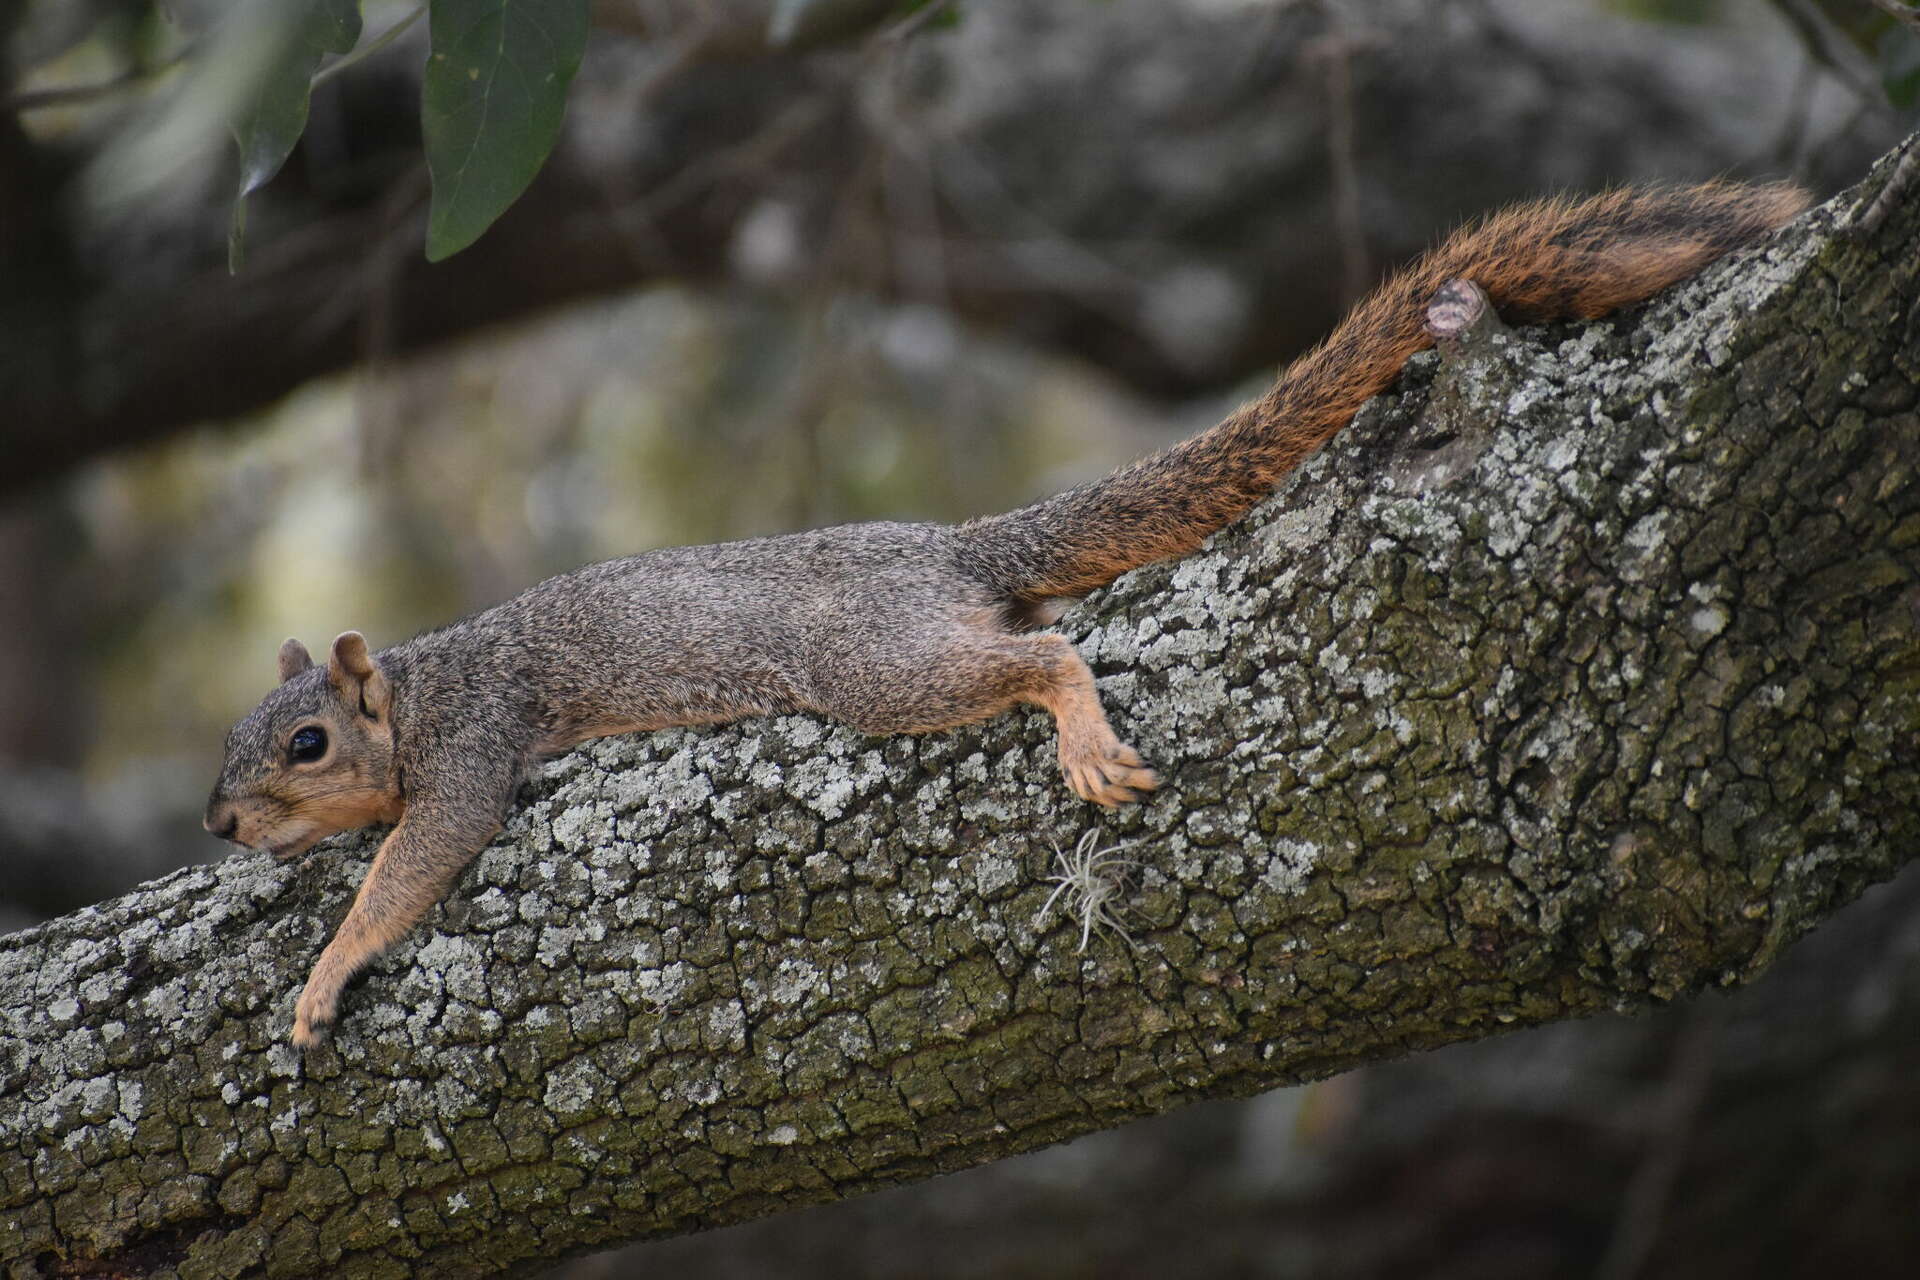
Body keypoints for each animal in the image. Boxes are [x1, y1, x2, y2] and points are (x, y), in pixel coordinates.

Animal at [203, 181, 1809, 1048]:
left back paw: (1079, 729)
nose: (219, 823)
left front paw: (327, 968)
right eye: (230, 740)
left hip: (874, 661)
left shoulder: (480, 743)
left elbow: (414, 862)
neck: (417, 685)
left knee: (1037, 648)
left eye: (303, 743)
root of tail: (952, 546)